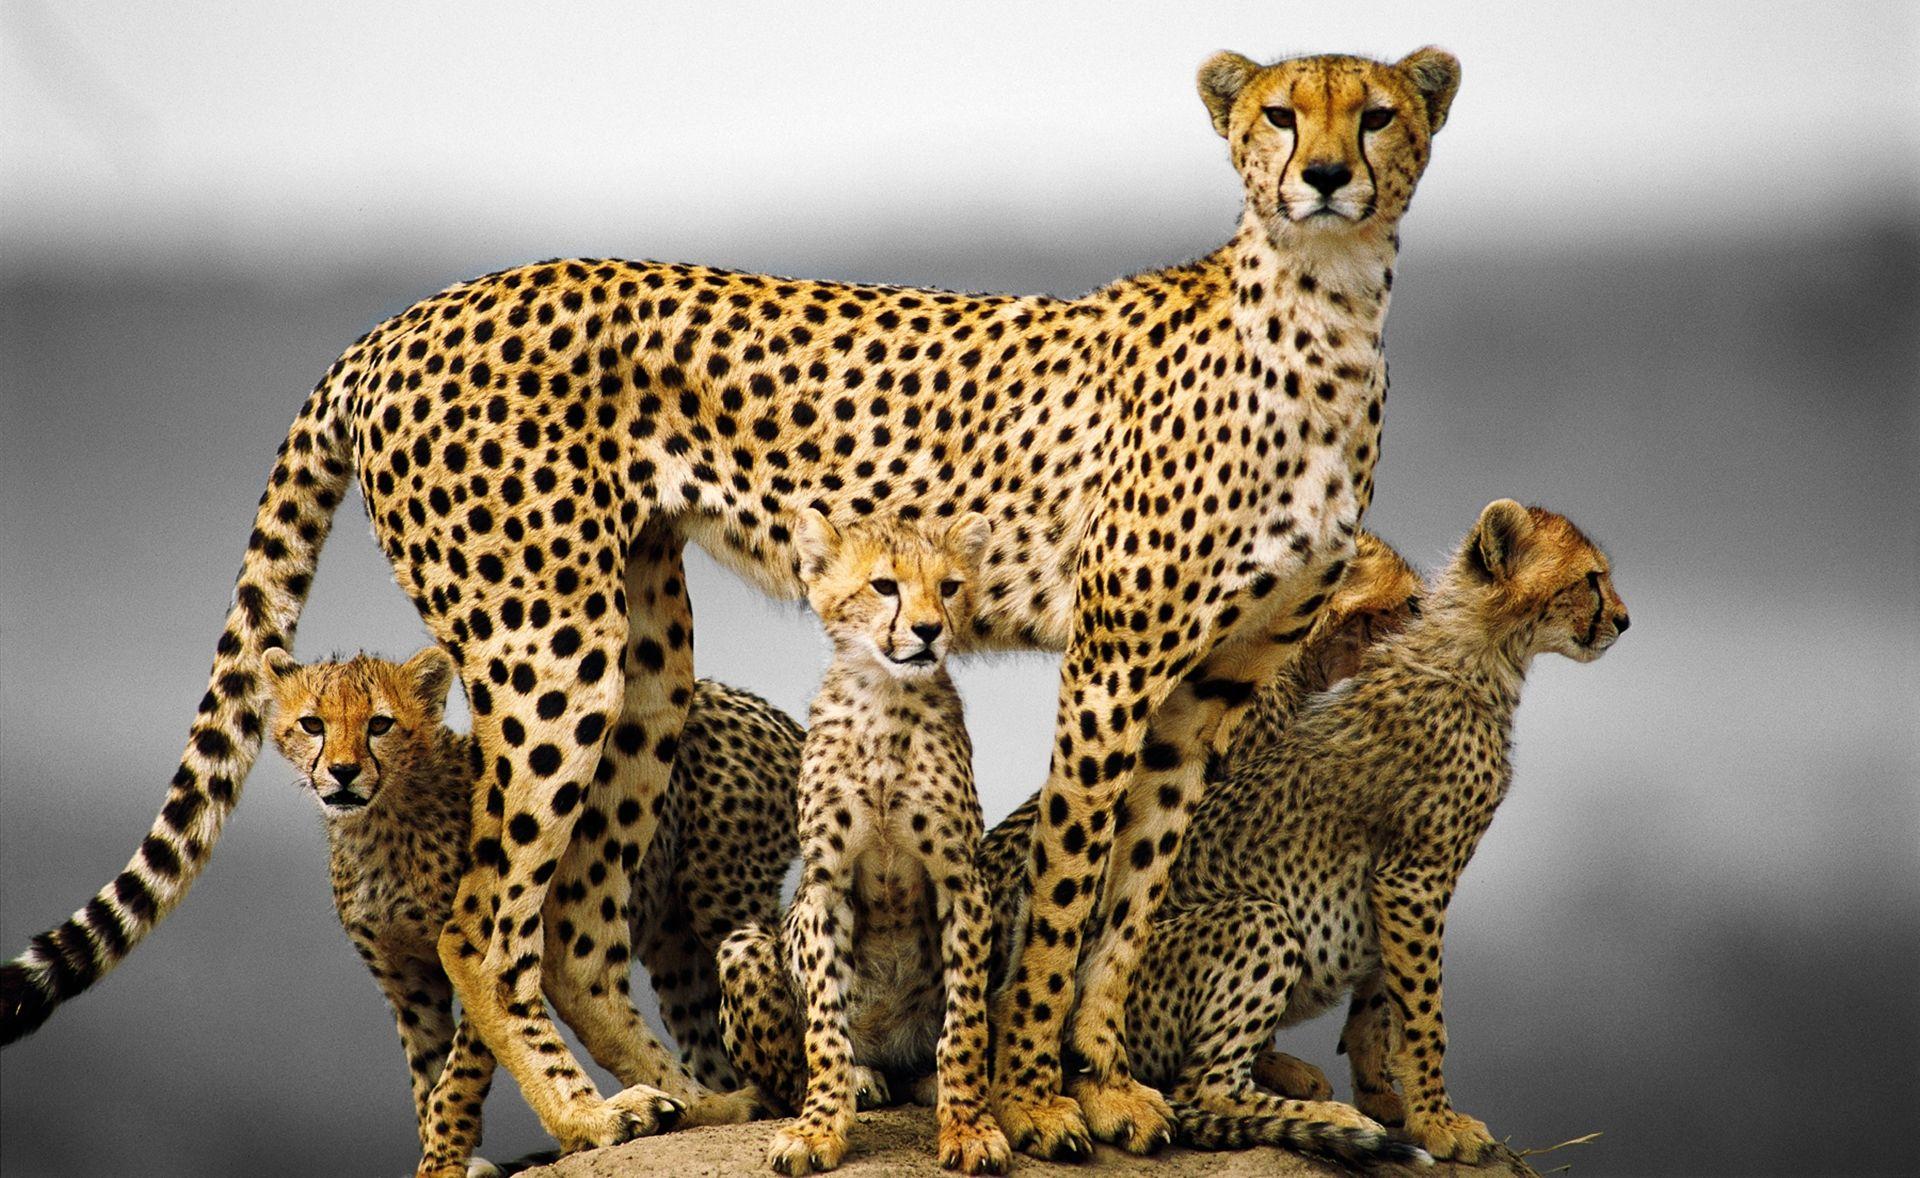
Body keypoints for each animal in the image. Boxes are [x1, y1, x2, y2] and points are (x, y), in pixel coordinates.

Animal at [267, 647, 803, 1176]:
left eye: (380, 724)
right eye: (312, 724)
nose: (343, 771)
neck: (378, 821)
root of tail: (755, 704)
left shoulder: (481, 944)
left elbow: (457, 1076)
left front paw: (445, 1155)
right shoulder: (407, 985)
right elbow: (427, 1075)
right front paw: (443, 1154)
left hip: (721, 895)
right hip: (677, 950)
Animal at [718, 510, 1010, 1176]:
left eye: (949, 587)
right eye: (884, 586)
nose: (928, 630)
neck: (885, 699)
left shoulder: (962, 878)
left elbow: (965, 1022)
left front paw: (968, 1125)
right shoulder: (825, 886)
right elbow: (825, 1027)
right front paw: (819, 1128)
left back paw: (921, 1080)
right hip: (743, 945)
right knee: (785, 1074)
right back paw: (860, 1079)